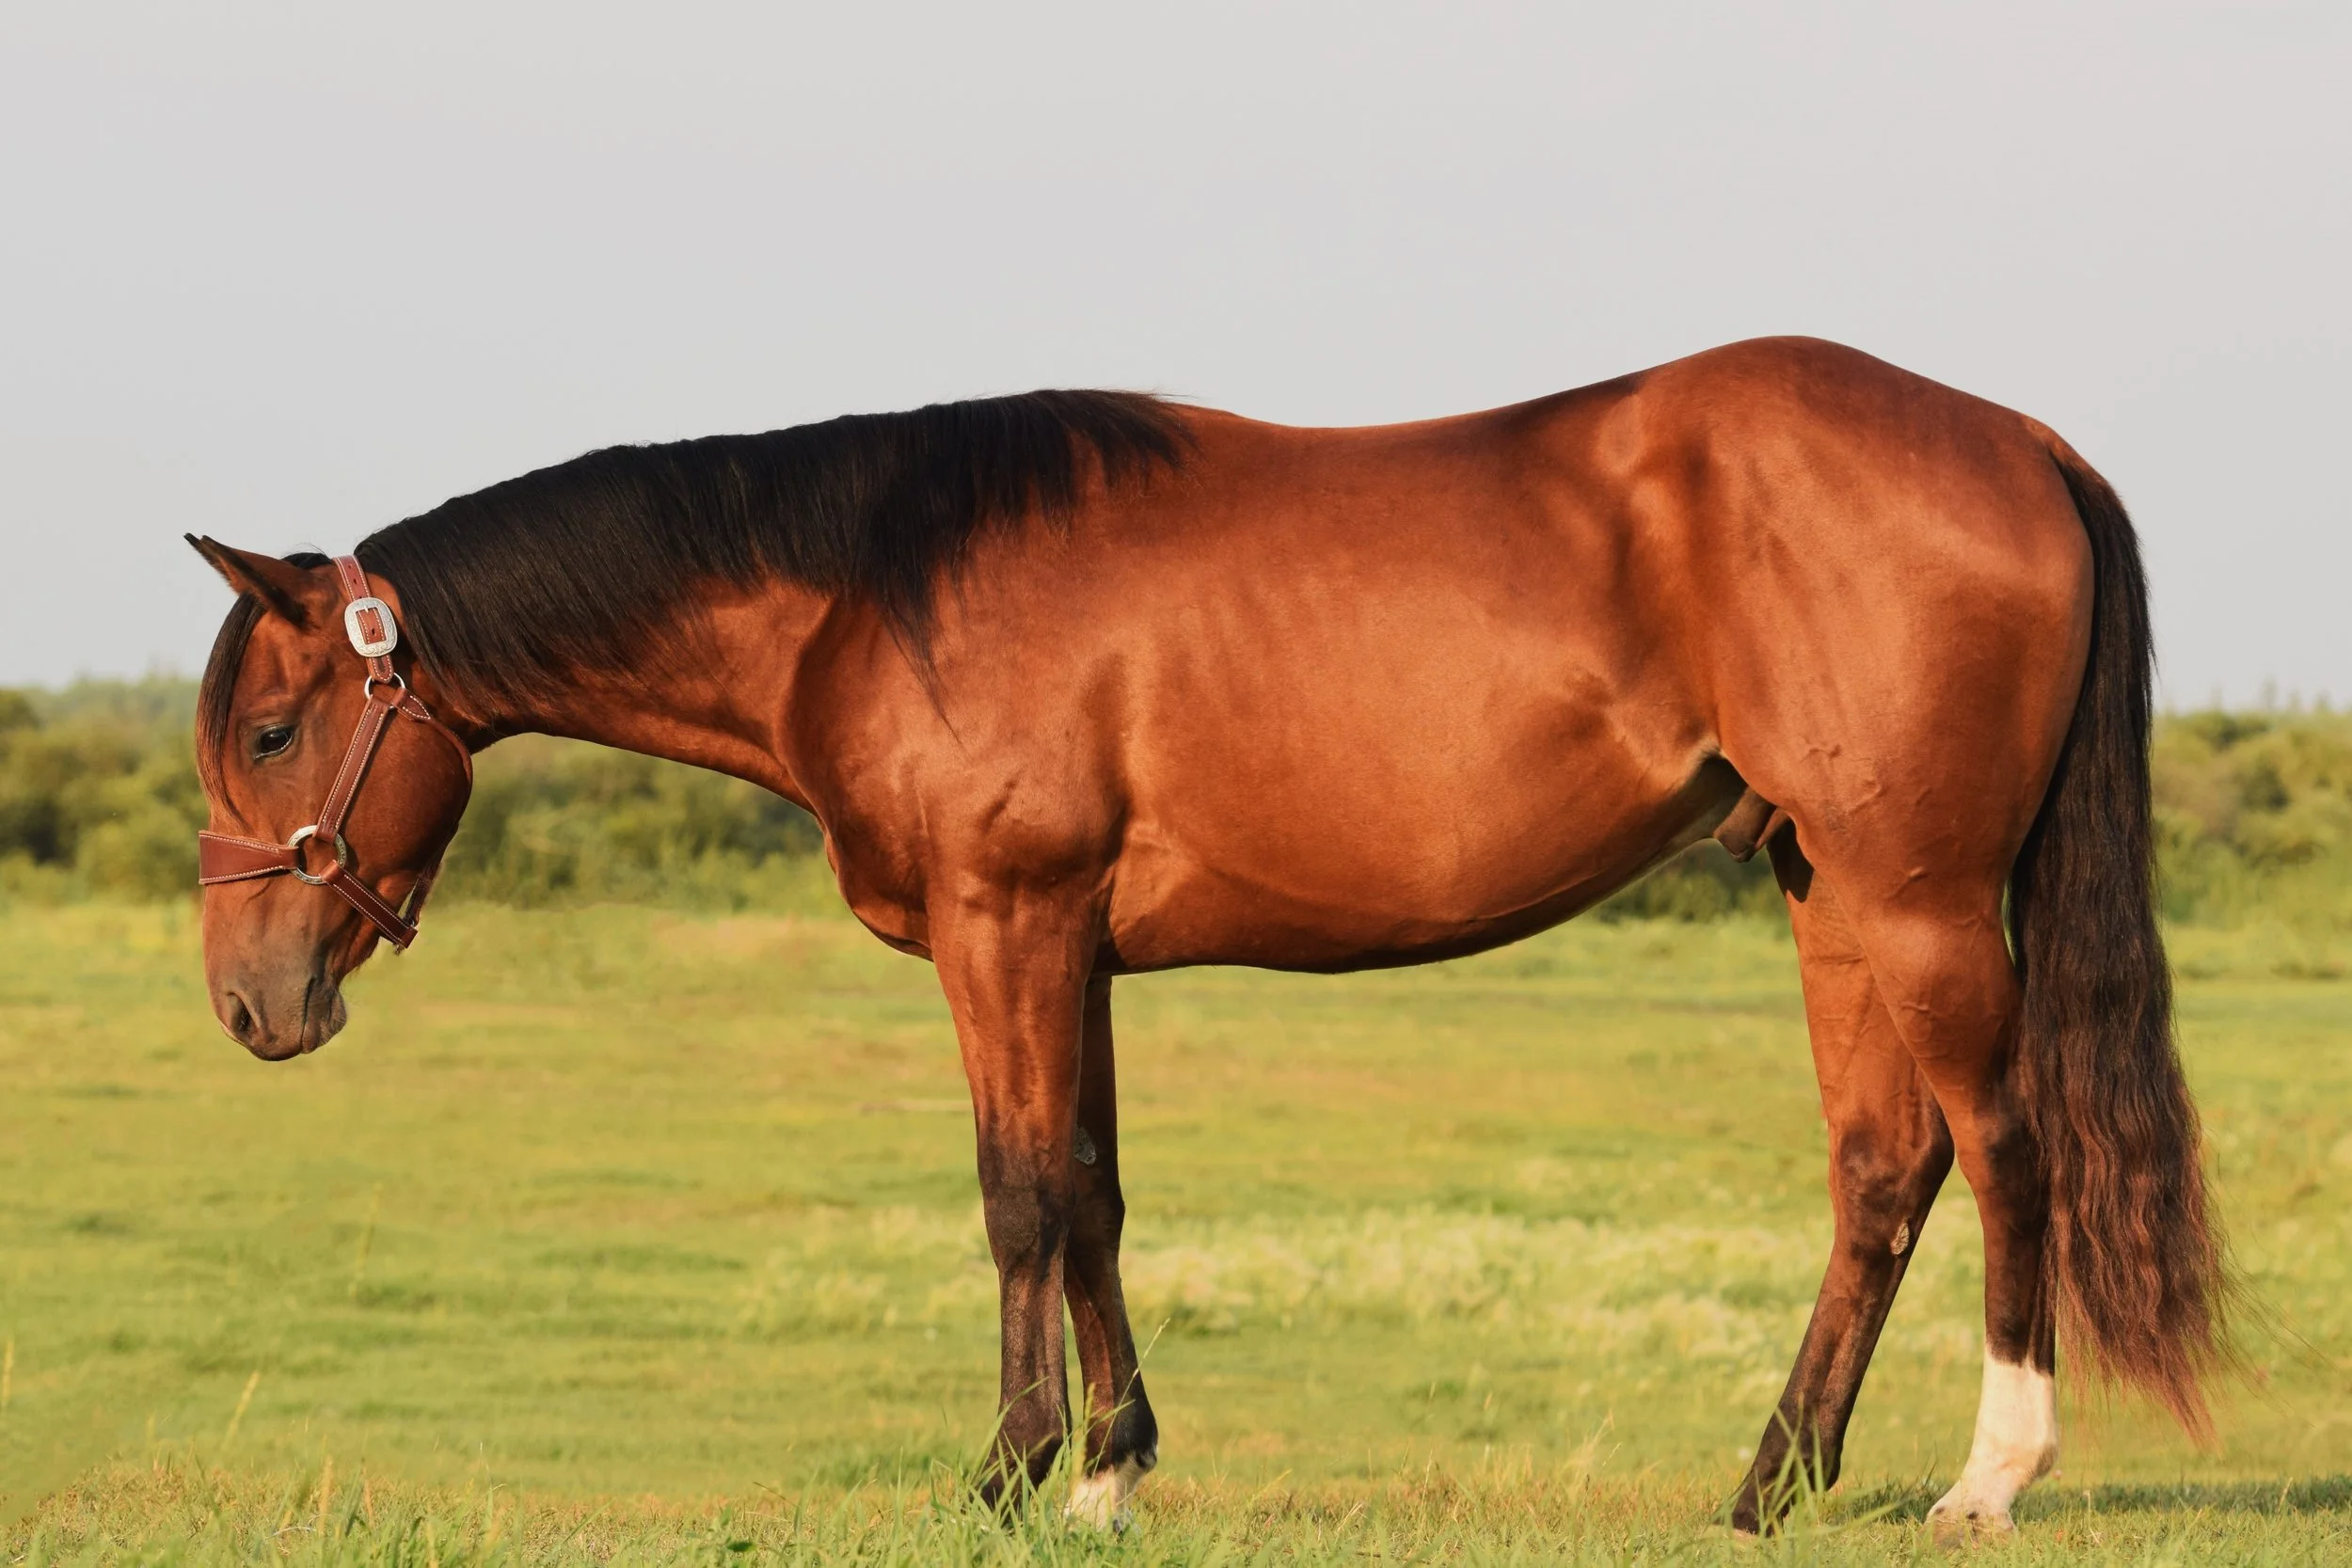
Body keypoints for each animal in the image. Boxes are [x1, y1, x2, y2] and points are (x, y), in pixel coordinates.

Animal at [187, 336, 2224, 1536]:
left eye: (273, 731)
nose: (250, 1002)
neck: (870, 585)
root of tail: (2021, 439)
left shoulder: (1004, 925)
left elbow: (1017, 1190)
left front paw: (1012, 1471)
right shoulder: (1069, 947)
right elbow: (1091, 1189)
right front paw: (1112, 1468)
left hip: (1919, 895)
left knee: (2008, 1145)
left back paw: (1990, 1474)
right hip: (1829, 890)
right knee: (1881, 1167)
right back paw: (1768, 1481)